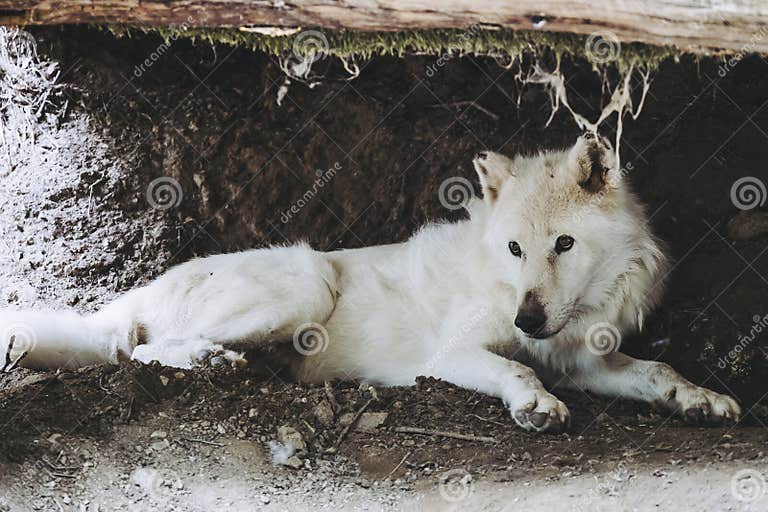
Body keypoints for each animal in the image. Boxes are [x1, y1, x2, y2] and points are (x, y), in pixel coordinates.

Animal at [0, 134, 740, 432]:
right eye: (514, 248)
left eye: (564, 245)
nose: (527, 321)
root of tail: (137, 291)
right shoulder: (455, 355)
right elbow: (518, 371)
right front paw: (534, 405)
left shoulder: (583, 358)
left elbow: (658, 369)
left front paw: (701, 399)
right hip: (307, 281)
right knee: (141, 350)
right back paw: (215, 362)